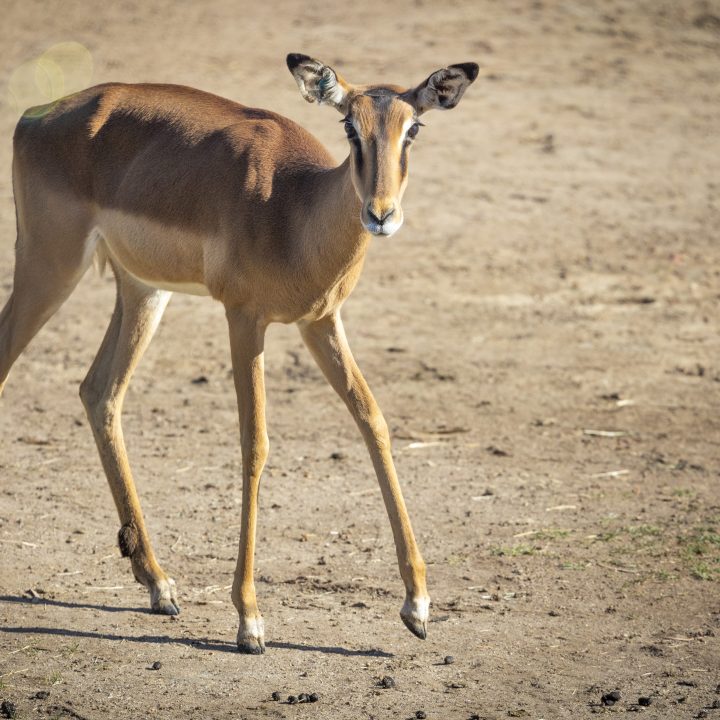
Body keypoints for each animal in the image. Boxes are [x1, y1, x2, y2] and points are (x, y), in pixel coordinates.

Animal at [0, 54, 478, 653]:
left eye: (412, 129)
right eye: (350, 127)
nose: (380, 214)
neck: (292, 208)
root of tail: (34, 116)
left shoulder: (320, 322)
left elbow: (374, 422)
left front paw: (417, 606)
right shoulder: (244, 320)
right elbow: (256, 444)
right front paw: (249, 619)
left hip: (142, 291)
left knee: (99, 392)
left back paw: (159, 586)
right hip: (50, 267)